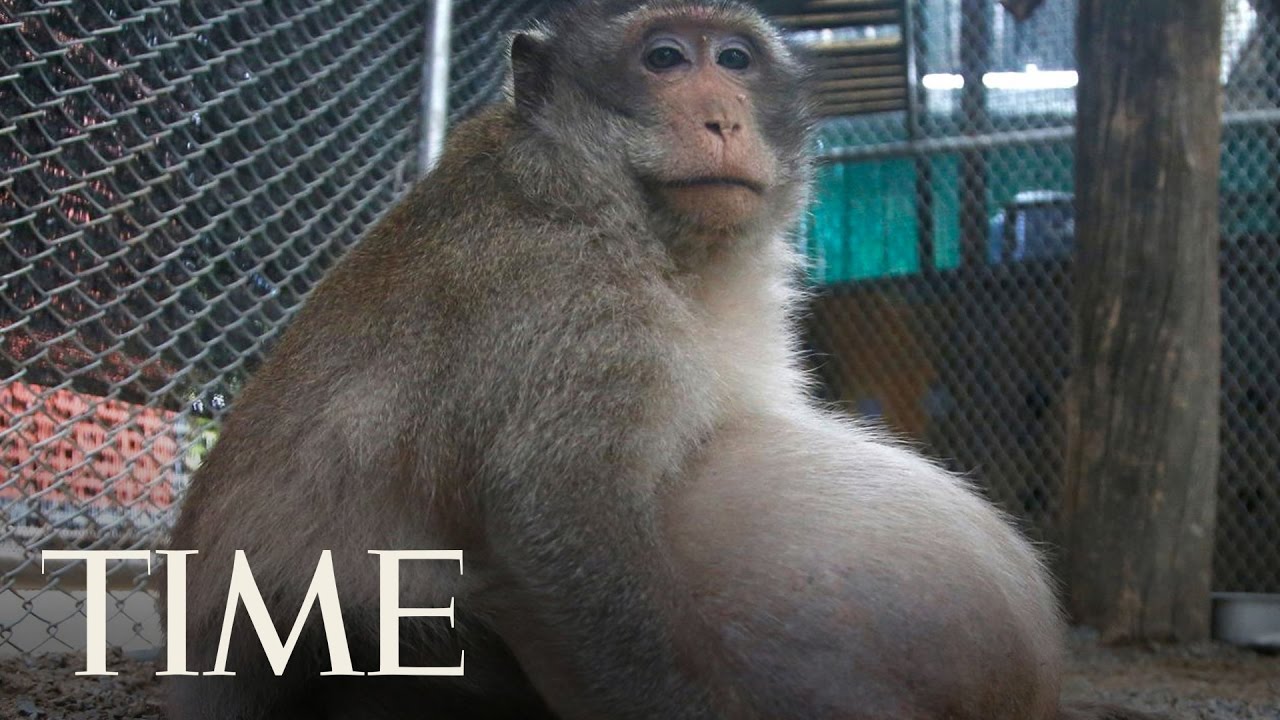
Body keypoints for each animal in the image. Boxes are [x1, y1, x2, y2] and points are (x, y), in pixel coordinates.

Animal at [164, 2, 1164, 719]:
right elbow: (556, 520)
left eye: (736, 61)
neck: (632, 221)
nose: (722, 115)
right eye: (666, 60)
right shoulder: (570, 304)